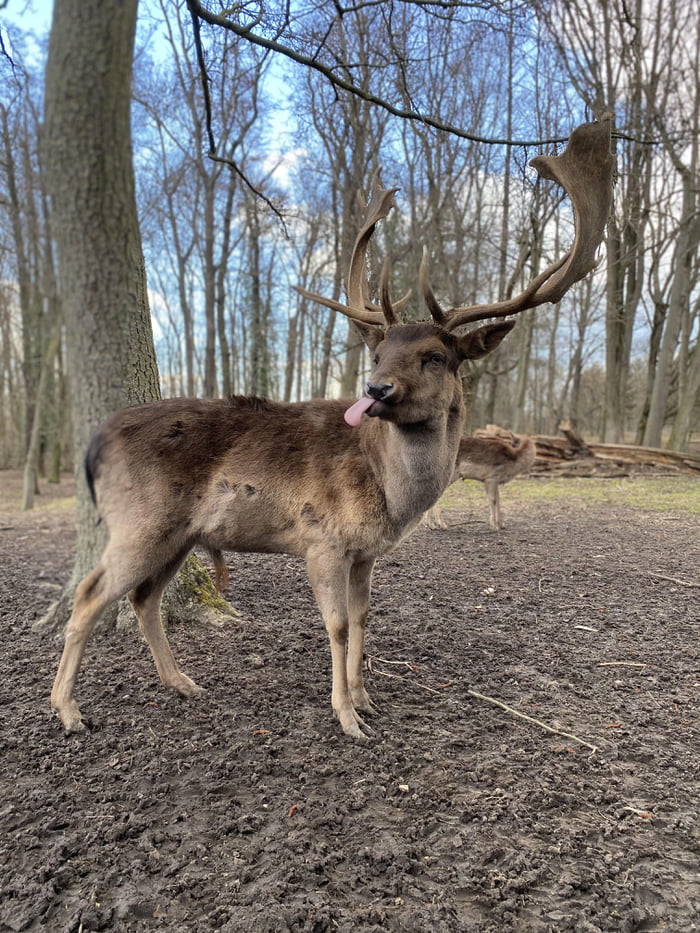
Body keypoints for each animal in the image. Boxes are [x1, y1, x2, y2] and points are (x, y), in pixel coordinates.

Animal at [50, 116, 614, 740]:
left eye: (435, 357)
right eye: (378, 354)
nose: (375, 391)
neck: (392, 495)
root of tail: (92, 443)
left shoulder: (366, 551)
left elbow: (365, 618)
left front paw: (367, 699)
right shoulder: (320, 539)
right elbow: (338, 626)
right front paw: (347, 718)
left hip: (178, 533)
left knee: (144, 599)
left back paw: (181, 683)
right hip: (140, 522)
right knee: (89, 594)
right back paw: (69, 711)